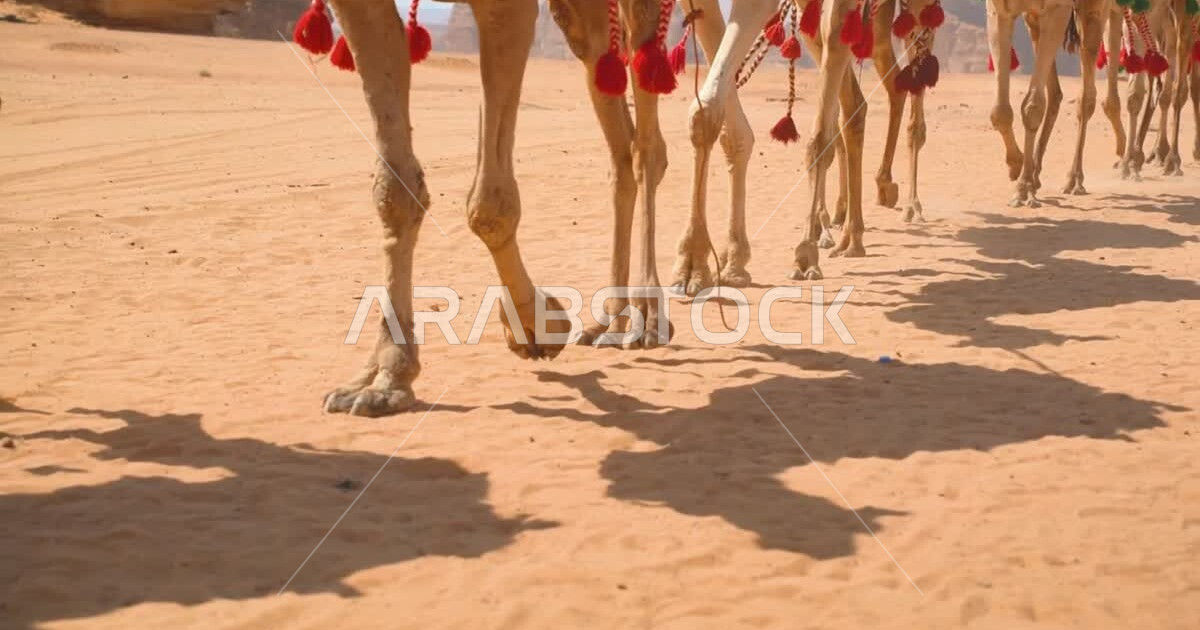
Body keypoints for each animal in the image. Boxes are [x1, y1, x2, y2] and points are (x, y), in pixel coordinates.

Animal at [297, 0, 682, 415]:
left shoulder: (507, 8)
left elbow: (490, 205)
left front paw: (537, 325)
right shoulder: (357, 6)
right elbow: (395, 190)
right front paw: (384, 377)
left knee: (647, 148)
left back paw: (648, 319)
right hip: (583, 21)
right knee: (619, 143)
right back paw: (611, 320)